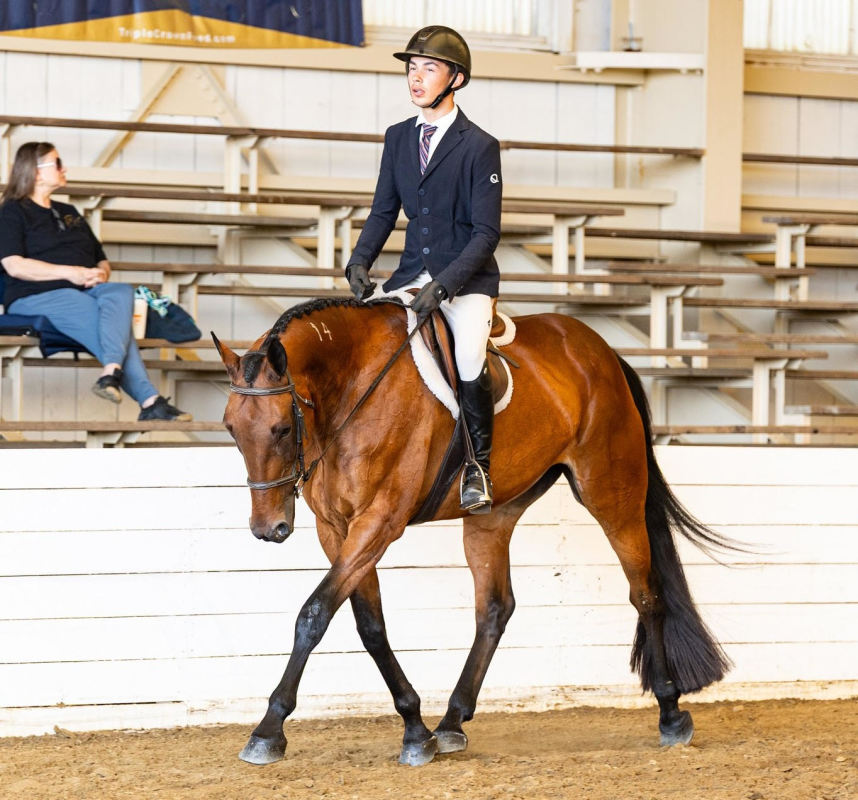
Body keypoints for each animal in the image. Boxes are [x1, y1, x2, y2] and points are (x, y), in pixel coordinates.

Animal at [214, 297, 733, 767]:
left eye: (282, 429)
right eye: (231, 429)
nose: (268, 528)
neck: (352, 386)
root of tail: (601, 350)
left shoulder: (379, 521)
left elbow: (314, 614)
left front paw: (268, 730)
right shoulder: (337, 529)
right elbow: (370, 626)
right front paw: (415, 727)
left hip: (612, 494)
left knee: (645, 594)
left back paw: (671, 713)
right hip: (493, 515)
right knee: (495, 608)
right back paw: (450, 722)